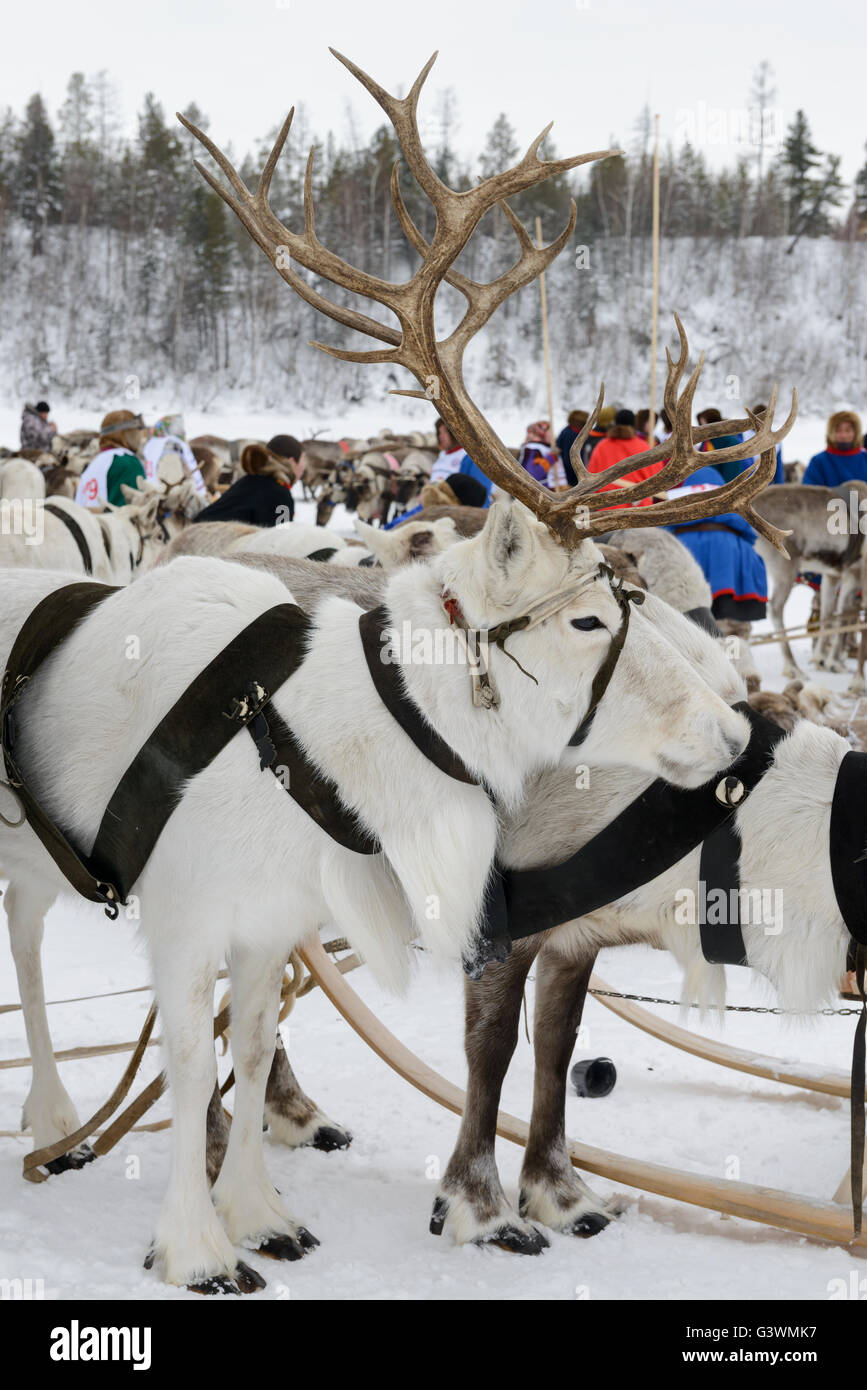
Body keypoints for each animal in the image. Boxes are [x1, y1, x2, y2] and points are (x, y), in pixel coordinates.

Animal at [0, 50, 791, 1295]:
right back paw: (77, 1118)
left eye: (635, 590)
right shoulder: (221, 911)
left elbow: (305, 1036)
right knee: (55, 964)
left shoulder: (324, 919)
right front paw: (212, 1239)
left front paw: (279, 1207)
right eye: (586, 615)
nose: (731, 726)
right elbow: (227, 1064)